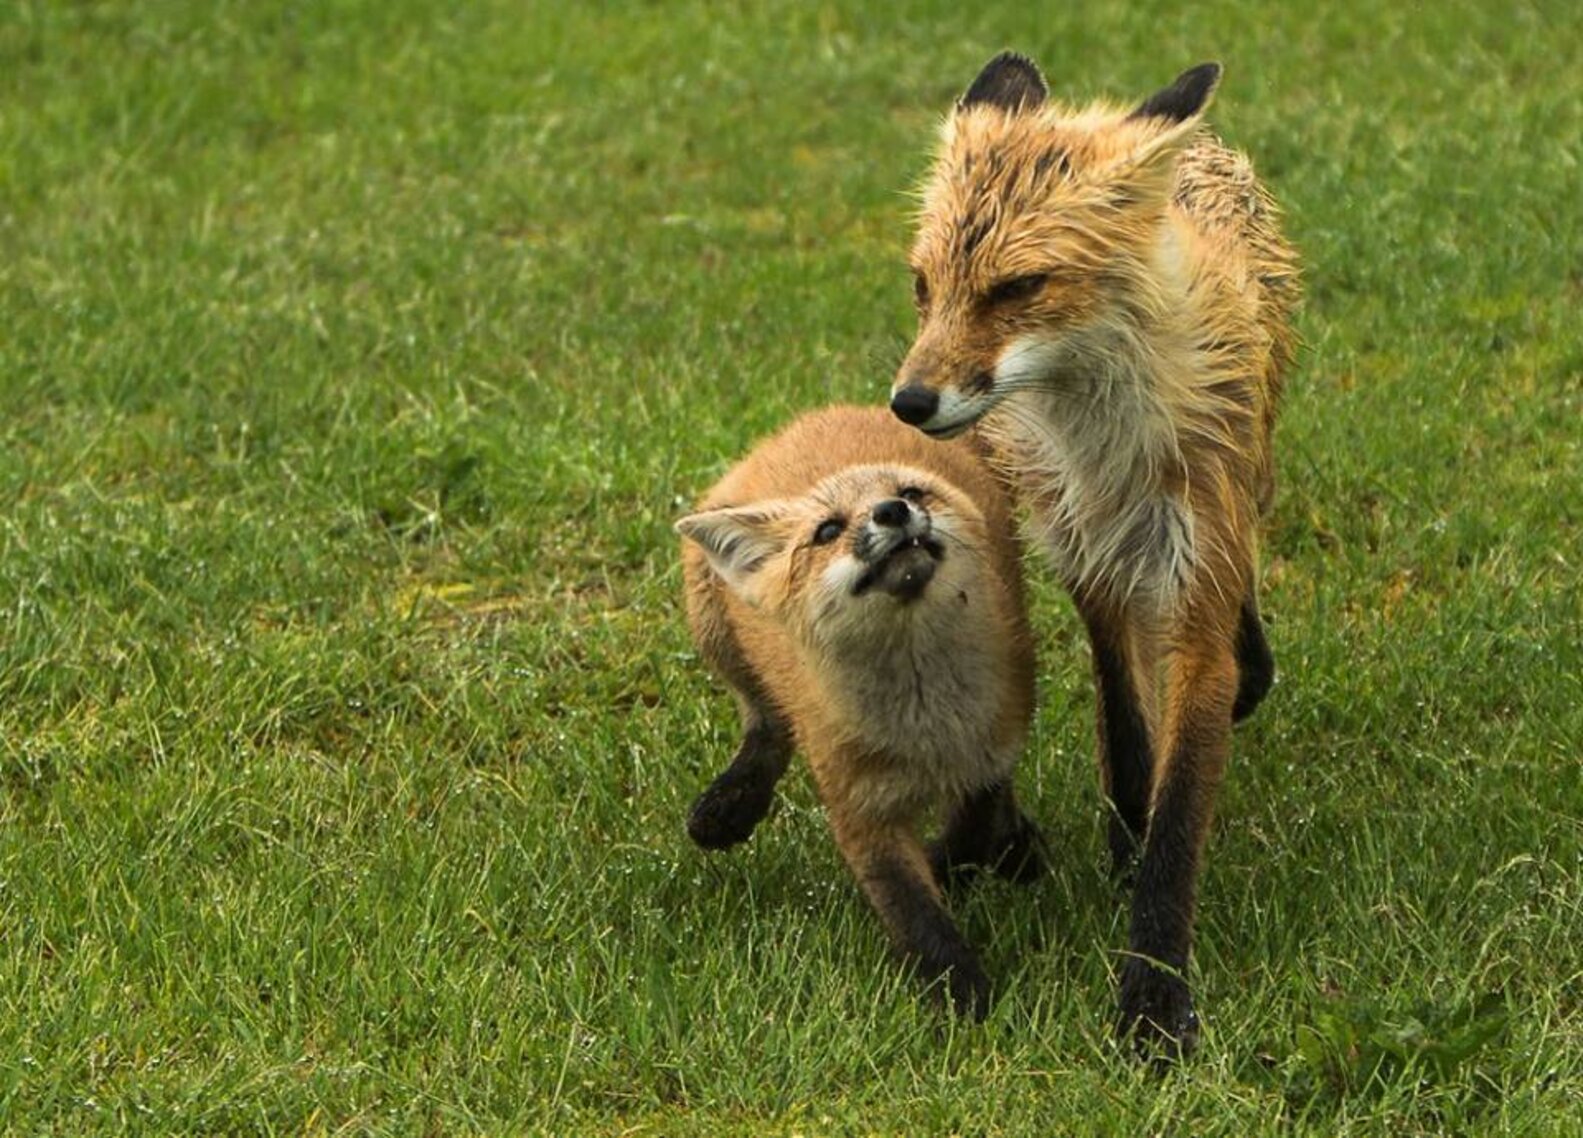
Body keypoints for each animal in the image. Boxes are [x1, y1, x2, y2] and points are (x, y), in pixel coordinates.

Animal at [676, 405, 1042, 1018]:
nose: (893, 511)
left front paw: (956, 867)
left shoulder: (988, 750)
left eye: (911, 492)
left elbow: (971, 831)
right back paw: (733, 800)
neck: (923, 727)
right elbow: (914, 913)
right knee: (766, 722)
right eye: (827, 531)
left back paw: (1018, 848)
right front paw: (961, 995)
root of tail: (815, 417)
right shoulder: (859, 809)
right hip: (710, 620)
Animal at [889, 54, 1301, 1054]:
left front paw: (1152, 1002)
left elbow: (1180, 812)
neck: (1105, 448)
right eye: (924, 287)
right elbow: (1125, 729)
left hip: (1246, 483)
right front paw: (1122, 837)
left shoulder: (1193, 577)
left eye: (1014, 289)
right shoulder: (1092, 567)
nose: (907, 403)